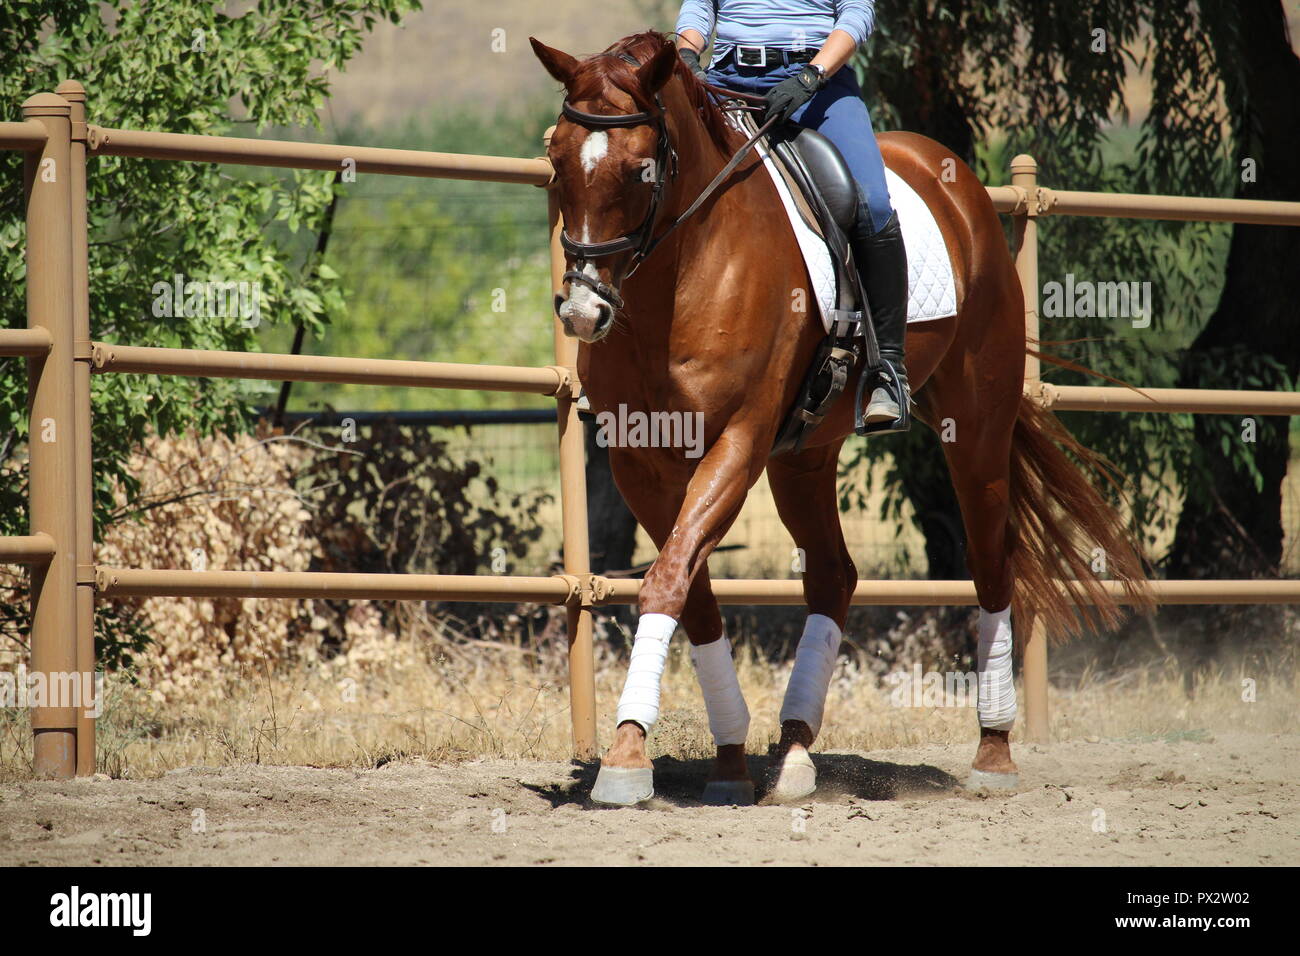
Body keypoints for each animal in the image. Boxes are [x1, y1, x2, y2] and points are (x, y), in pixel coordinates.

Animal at [530, 30, 1150, 806]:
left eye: (640, 170)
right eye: (557, 162)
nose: (584, 312)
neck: (684, 272)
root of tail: (952, 177)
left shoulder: (738, 441)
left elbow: (669, 579)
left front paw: (624, 754)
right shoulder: (639, 462)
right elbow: (689, 589)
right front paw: (723, 760)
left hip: (975, 430)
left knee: (990, 563)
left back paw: (994, 751)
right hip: (805, 456)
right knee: (834, 575)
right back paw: (793, 752)